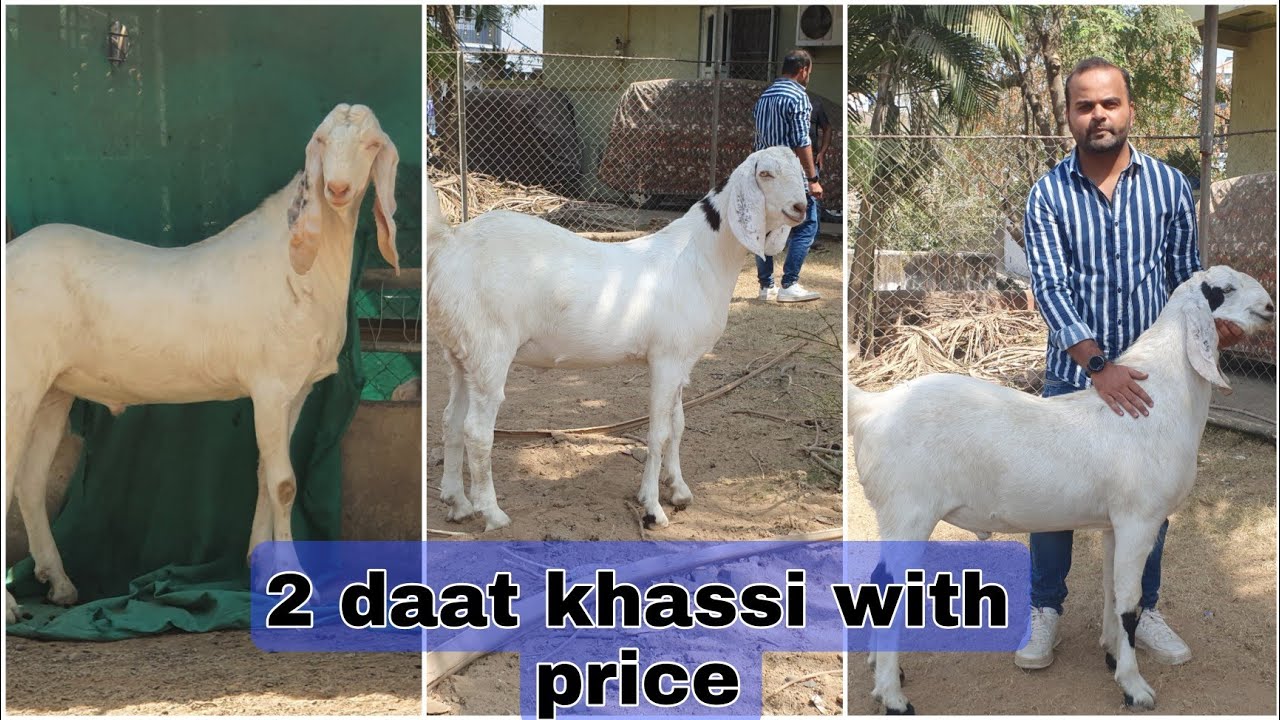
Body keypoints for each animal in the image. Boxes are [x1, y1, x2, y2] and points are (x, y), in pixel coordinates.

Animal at [4, 103, 400, 625]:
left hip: (53, 388)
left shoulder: (295, 391)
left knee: (29, 480)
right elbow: (285, 483)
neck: (297, 267)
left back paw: (61, 584)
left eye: (372, 145)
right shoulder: (271, 385)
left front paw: (261, 568)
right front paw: (300, 584)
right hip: (18, 378)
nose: (336, 189)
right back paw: (13, 604)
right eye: (319, 141)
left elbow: (265, 474)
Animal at [425, 146, 808, 531]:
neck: (698, 258)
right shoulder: (666, 360)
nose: (801, 207)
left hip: (460, 353)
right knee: (477, 430)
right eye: (766, 174)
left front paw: (679, 491)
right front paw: (653, 508)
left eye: (800, 171)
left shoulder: (682, 362)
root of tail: (450, 244)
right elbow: (658, 431)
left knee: (451, 420)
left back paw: (457, 503)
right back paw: (491, 512)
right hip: (490, 350)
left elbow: (679, 424)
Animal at [849, 265, 1274, 713]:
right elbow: (1129, 603)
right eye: (1223, 290)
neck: (1159, 399)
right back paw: (893, 697)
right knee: (889, 590)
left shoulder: (1114, 525)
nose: (1268, 307)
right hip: (907, 513)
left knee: (878, 582)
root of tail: (871, 408)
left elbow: (1111, 592)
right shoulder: (1140, 520)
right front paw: (1134, 686)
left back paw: (885, 671)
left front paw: (1112, 655)